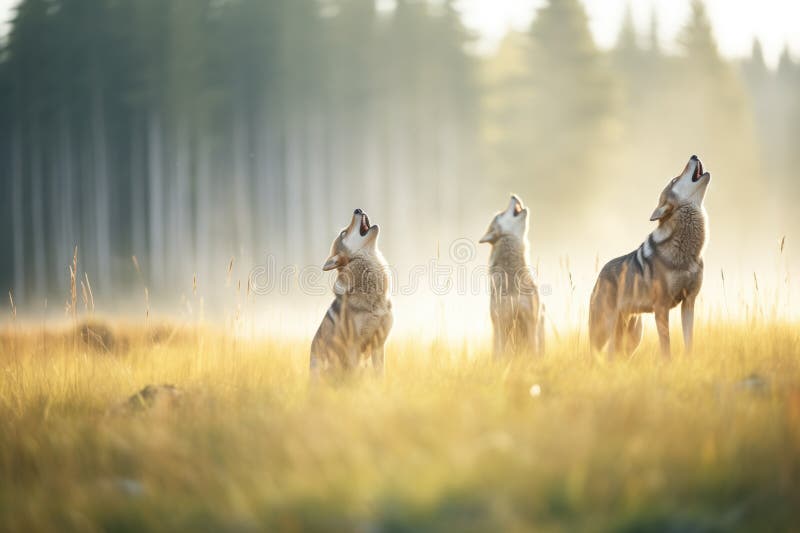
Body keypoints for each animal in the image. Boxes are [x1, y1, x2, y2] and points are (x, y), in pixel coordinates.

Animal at [480, 195, 544, 358]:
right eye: (500, 214)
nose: (513, 195)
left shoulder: (531, 319)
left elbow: (532, 348)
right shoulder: (501, 322)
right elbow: (501, 351)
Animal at [589, 155, 711, 359]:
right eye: (674, 180)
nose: (693, 155)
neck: (687, 251)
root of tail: (600, 275)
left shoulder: (689, 302)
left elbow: (689, 342)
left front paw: (689, 362)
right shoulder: (661, 308)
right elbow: (666, 348)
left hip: (632, 337)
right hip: (604, 331)